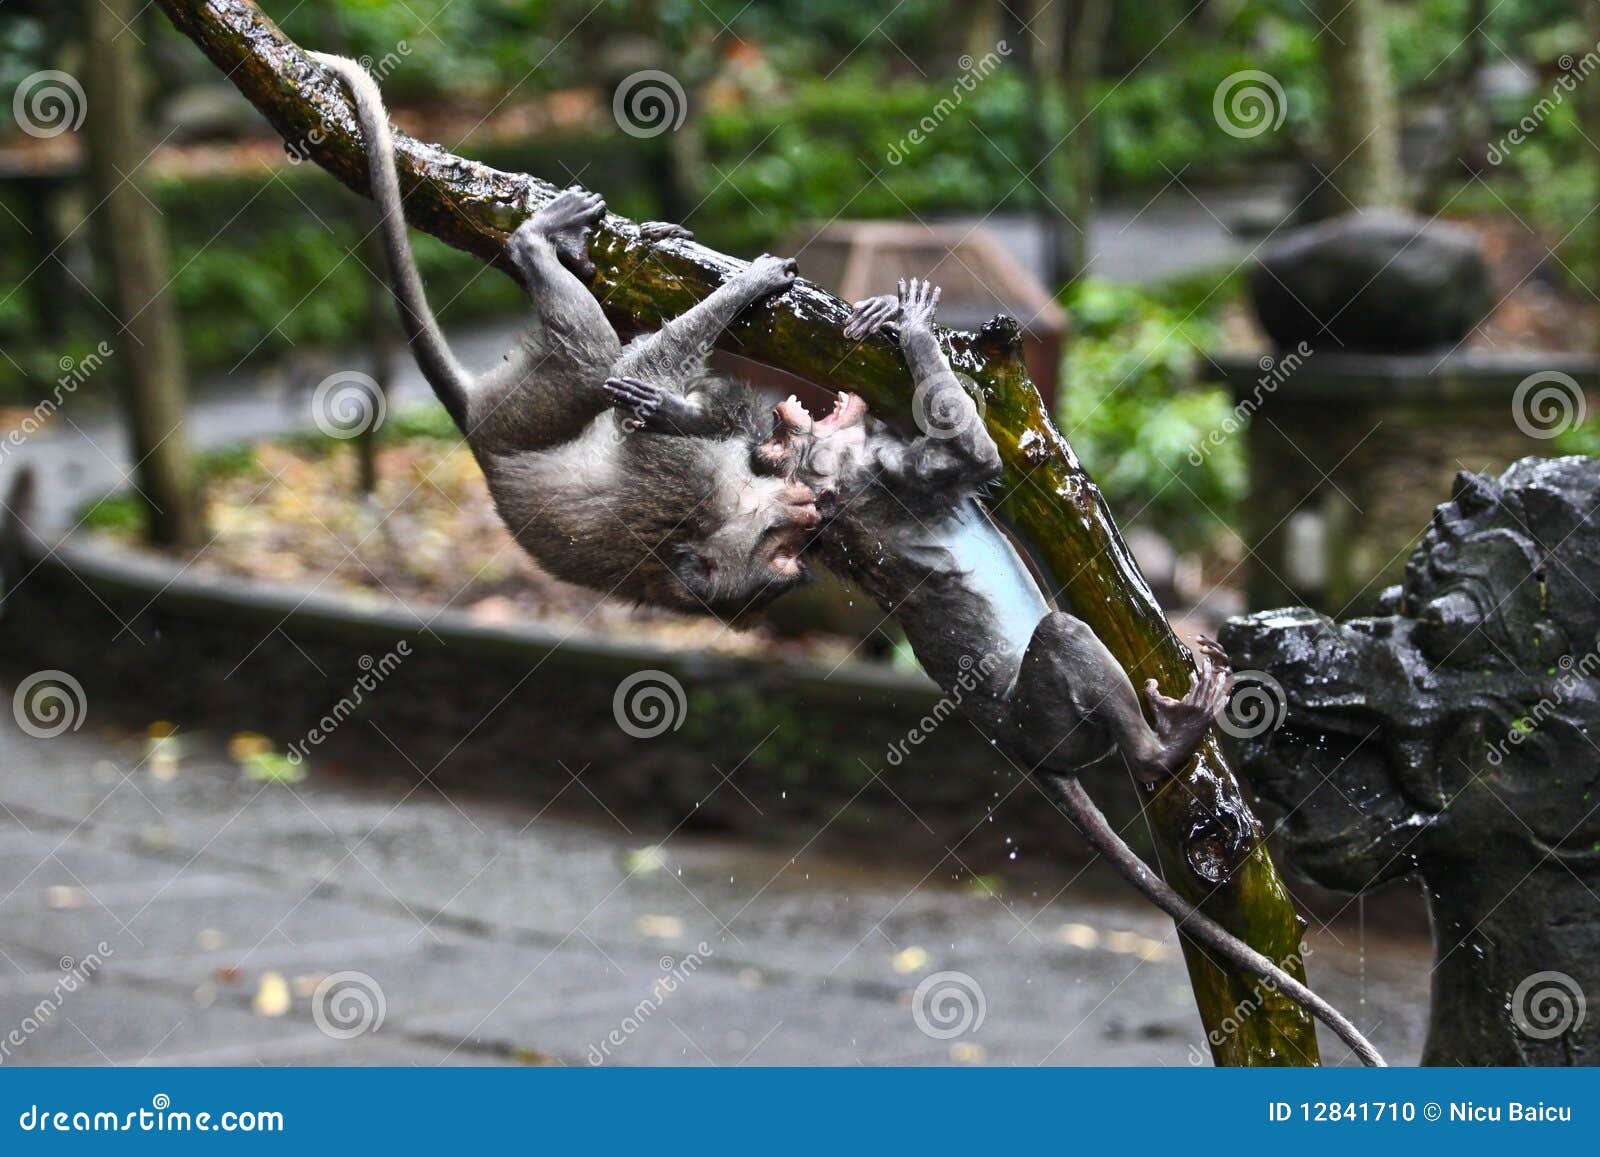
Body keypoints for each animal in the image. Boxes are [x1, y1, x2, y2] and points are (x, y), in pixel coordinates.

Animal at [309, 53, 819, 619]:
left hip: (519, 412)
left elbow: (637, 376)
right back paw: (563, 243)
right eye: (781, 546)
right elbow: (647, 375)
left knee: (589, 366)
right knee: (597, 362)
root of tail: (473, 431)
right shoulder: (692, 478)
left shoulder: (686, 482)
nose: (812, 516)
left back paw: (533, 246)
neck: (712, 516)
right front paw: (747, 290)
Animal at [738, 278, 1386, 1067]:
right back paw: (1163, 745)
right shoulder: (887, 479)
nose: (776, 413)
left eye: (770, 445)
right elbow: (977, 456)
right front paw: (919, 331)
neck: (835, 481)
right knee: (1066, 636)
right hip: (1048, 716)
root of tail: (1018, 747)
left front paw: (883, 319)